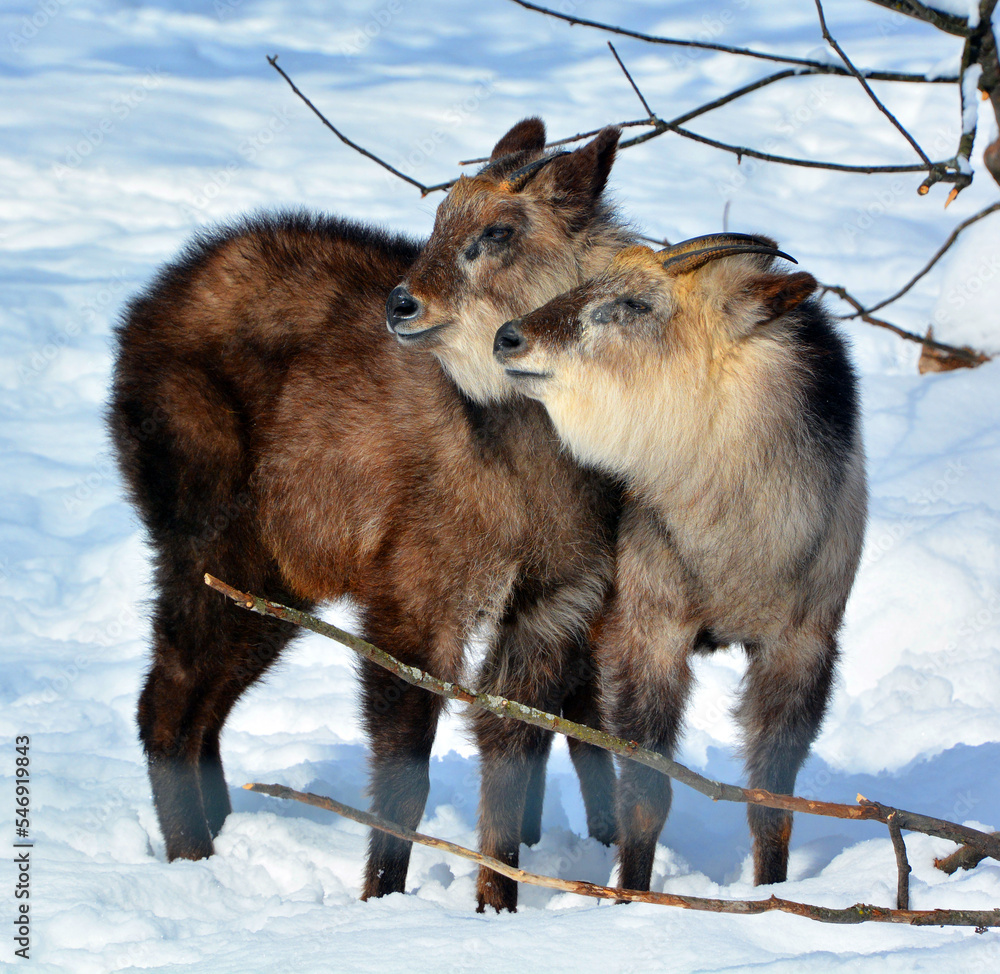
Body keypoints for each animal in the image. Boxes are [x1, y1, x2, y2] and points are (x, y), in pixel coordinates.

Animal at [109, 118, 636, 914]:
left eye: (499, 231)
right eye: (439, 220)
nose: (402, 305)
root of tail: (141, 312)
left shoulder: (553, 608)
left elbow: (511, 767)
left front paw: (495, 912)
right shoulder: (413, 604)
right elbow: (403, 783)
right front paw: (381, 903)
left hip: (275, 588)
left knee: (201, 715)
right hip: (214, 556)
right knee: (163, 709)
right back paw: (194, 869)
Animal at [493, 235, 867, 892]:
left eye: (635, 304)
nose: (507, 337)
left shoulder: (801, 648)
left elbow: (773, 803)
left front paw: (772, 898)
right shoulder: (650, 636)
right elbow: (647, 795)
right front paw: (632, 901)